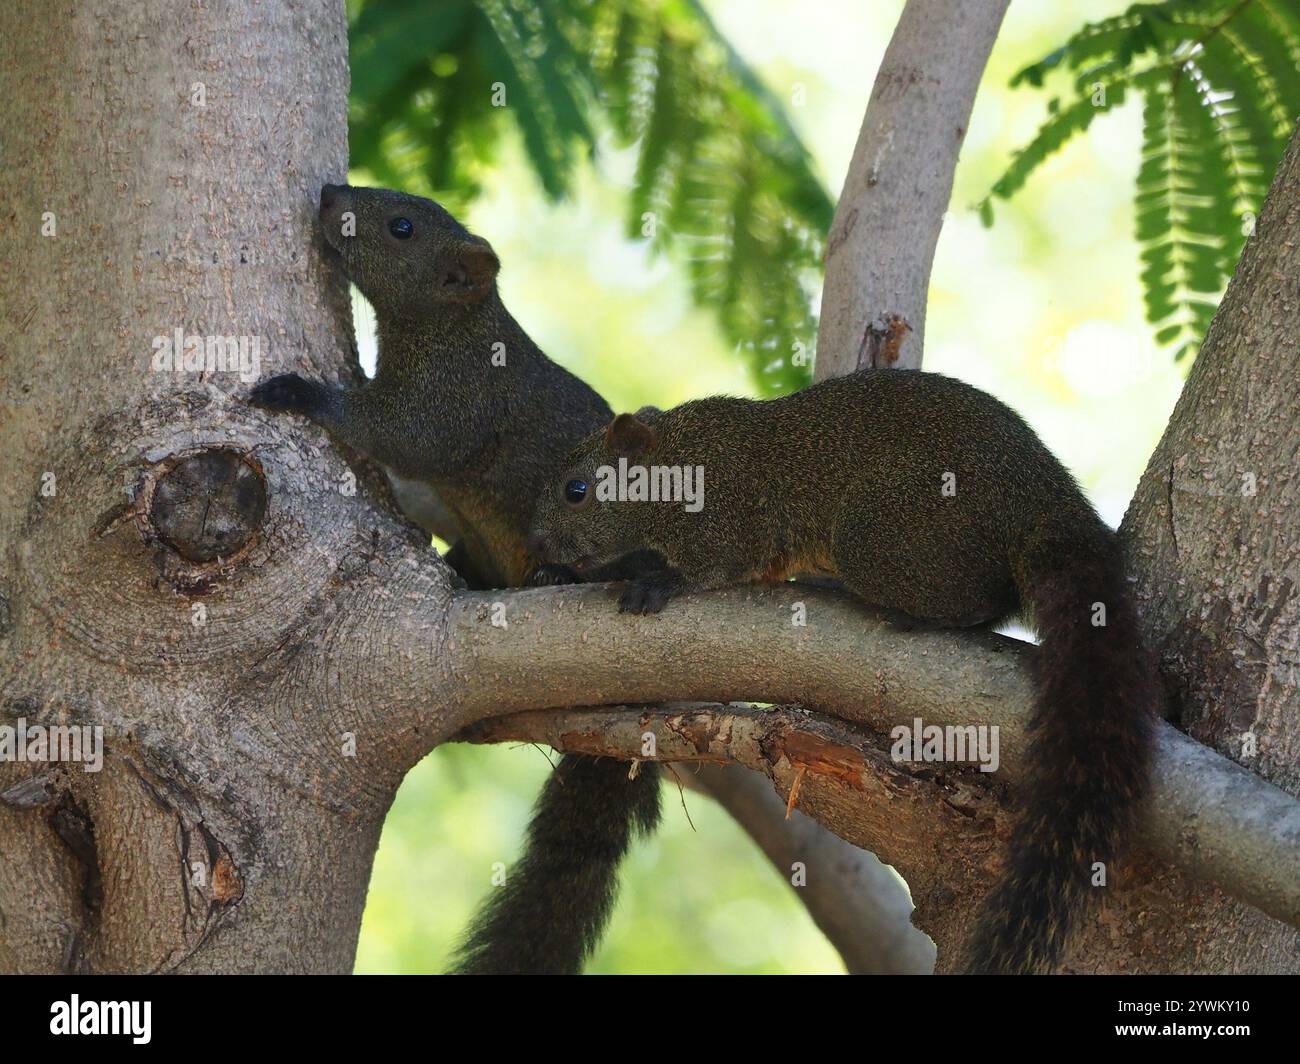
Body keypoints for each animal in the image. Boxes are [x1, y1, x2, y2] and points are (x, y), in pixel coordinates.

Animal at [249, 184, 661, 973]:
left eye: (403, 226)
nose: (331, 194)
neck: (448, 331)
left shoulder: (454, 405)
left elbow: (401, 437)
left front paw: (305, 393)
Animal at [528, 369, 1157, 974]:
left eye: (576, 491)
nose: (539, 544)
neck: (680, 459)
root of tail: (1047, 500)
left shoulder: (730, 518)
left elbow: (713, 568)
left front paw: (656, 581)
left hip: (876, 537)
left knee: (980, 600)